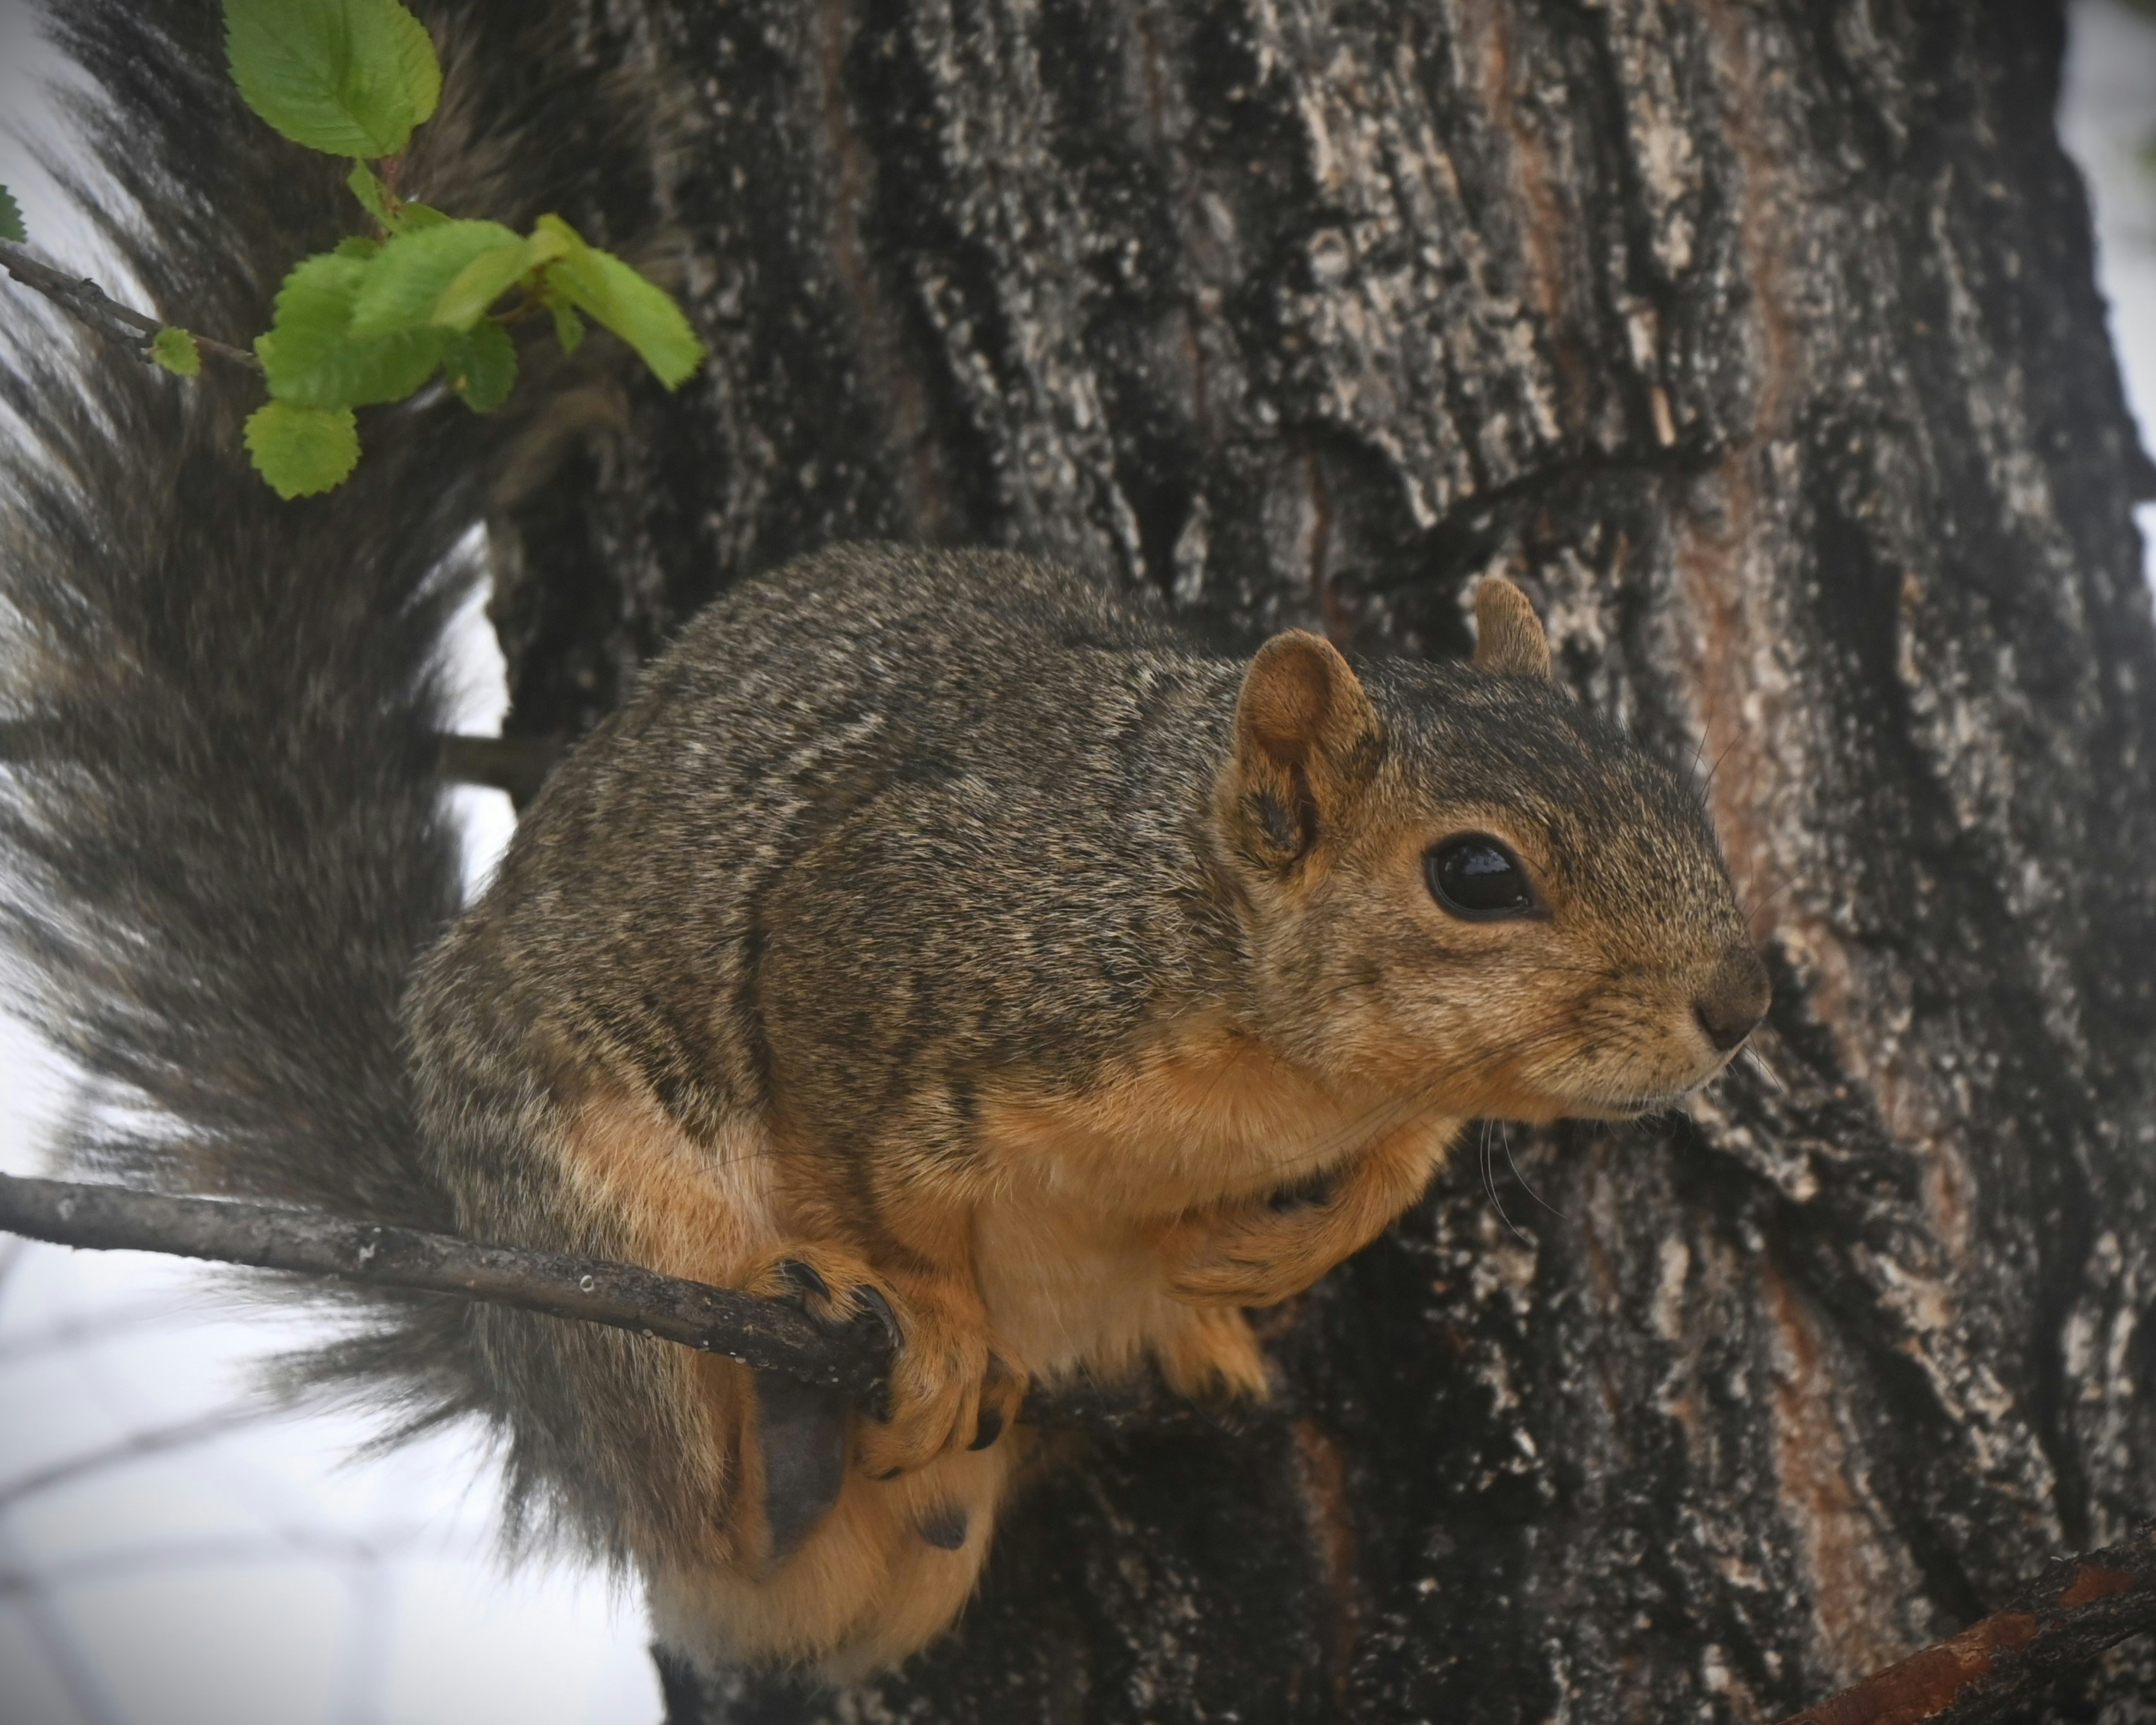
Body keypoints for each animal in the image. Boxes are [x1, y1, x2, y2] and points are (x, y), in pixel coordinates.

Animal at [0, 0, 1767, 1696]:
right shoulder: (897, 932)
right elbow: (863, 1154)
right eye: (1477, 876)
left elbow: (1410, 1152)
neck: (1243, 1009)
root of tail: (525, 1376)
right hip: (603, 1229)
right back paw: (790, 1416)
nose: (1738, 1006)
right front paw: (920, 1303)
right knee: (699, 1511)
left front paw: (1300, 1237)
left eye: (1673, 790)